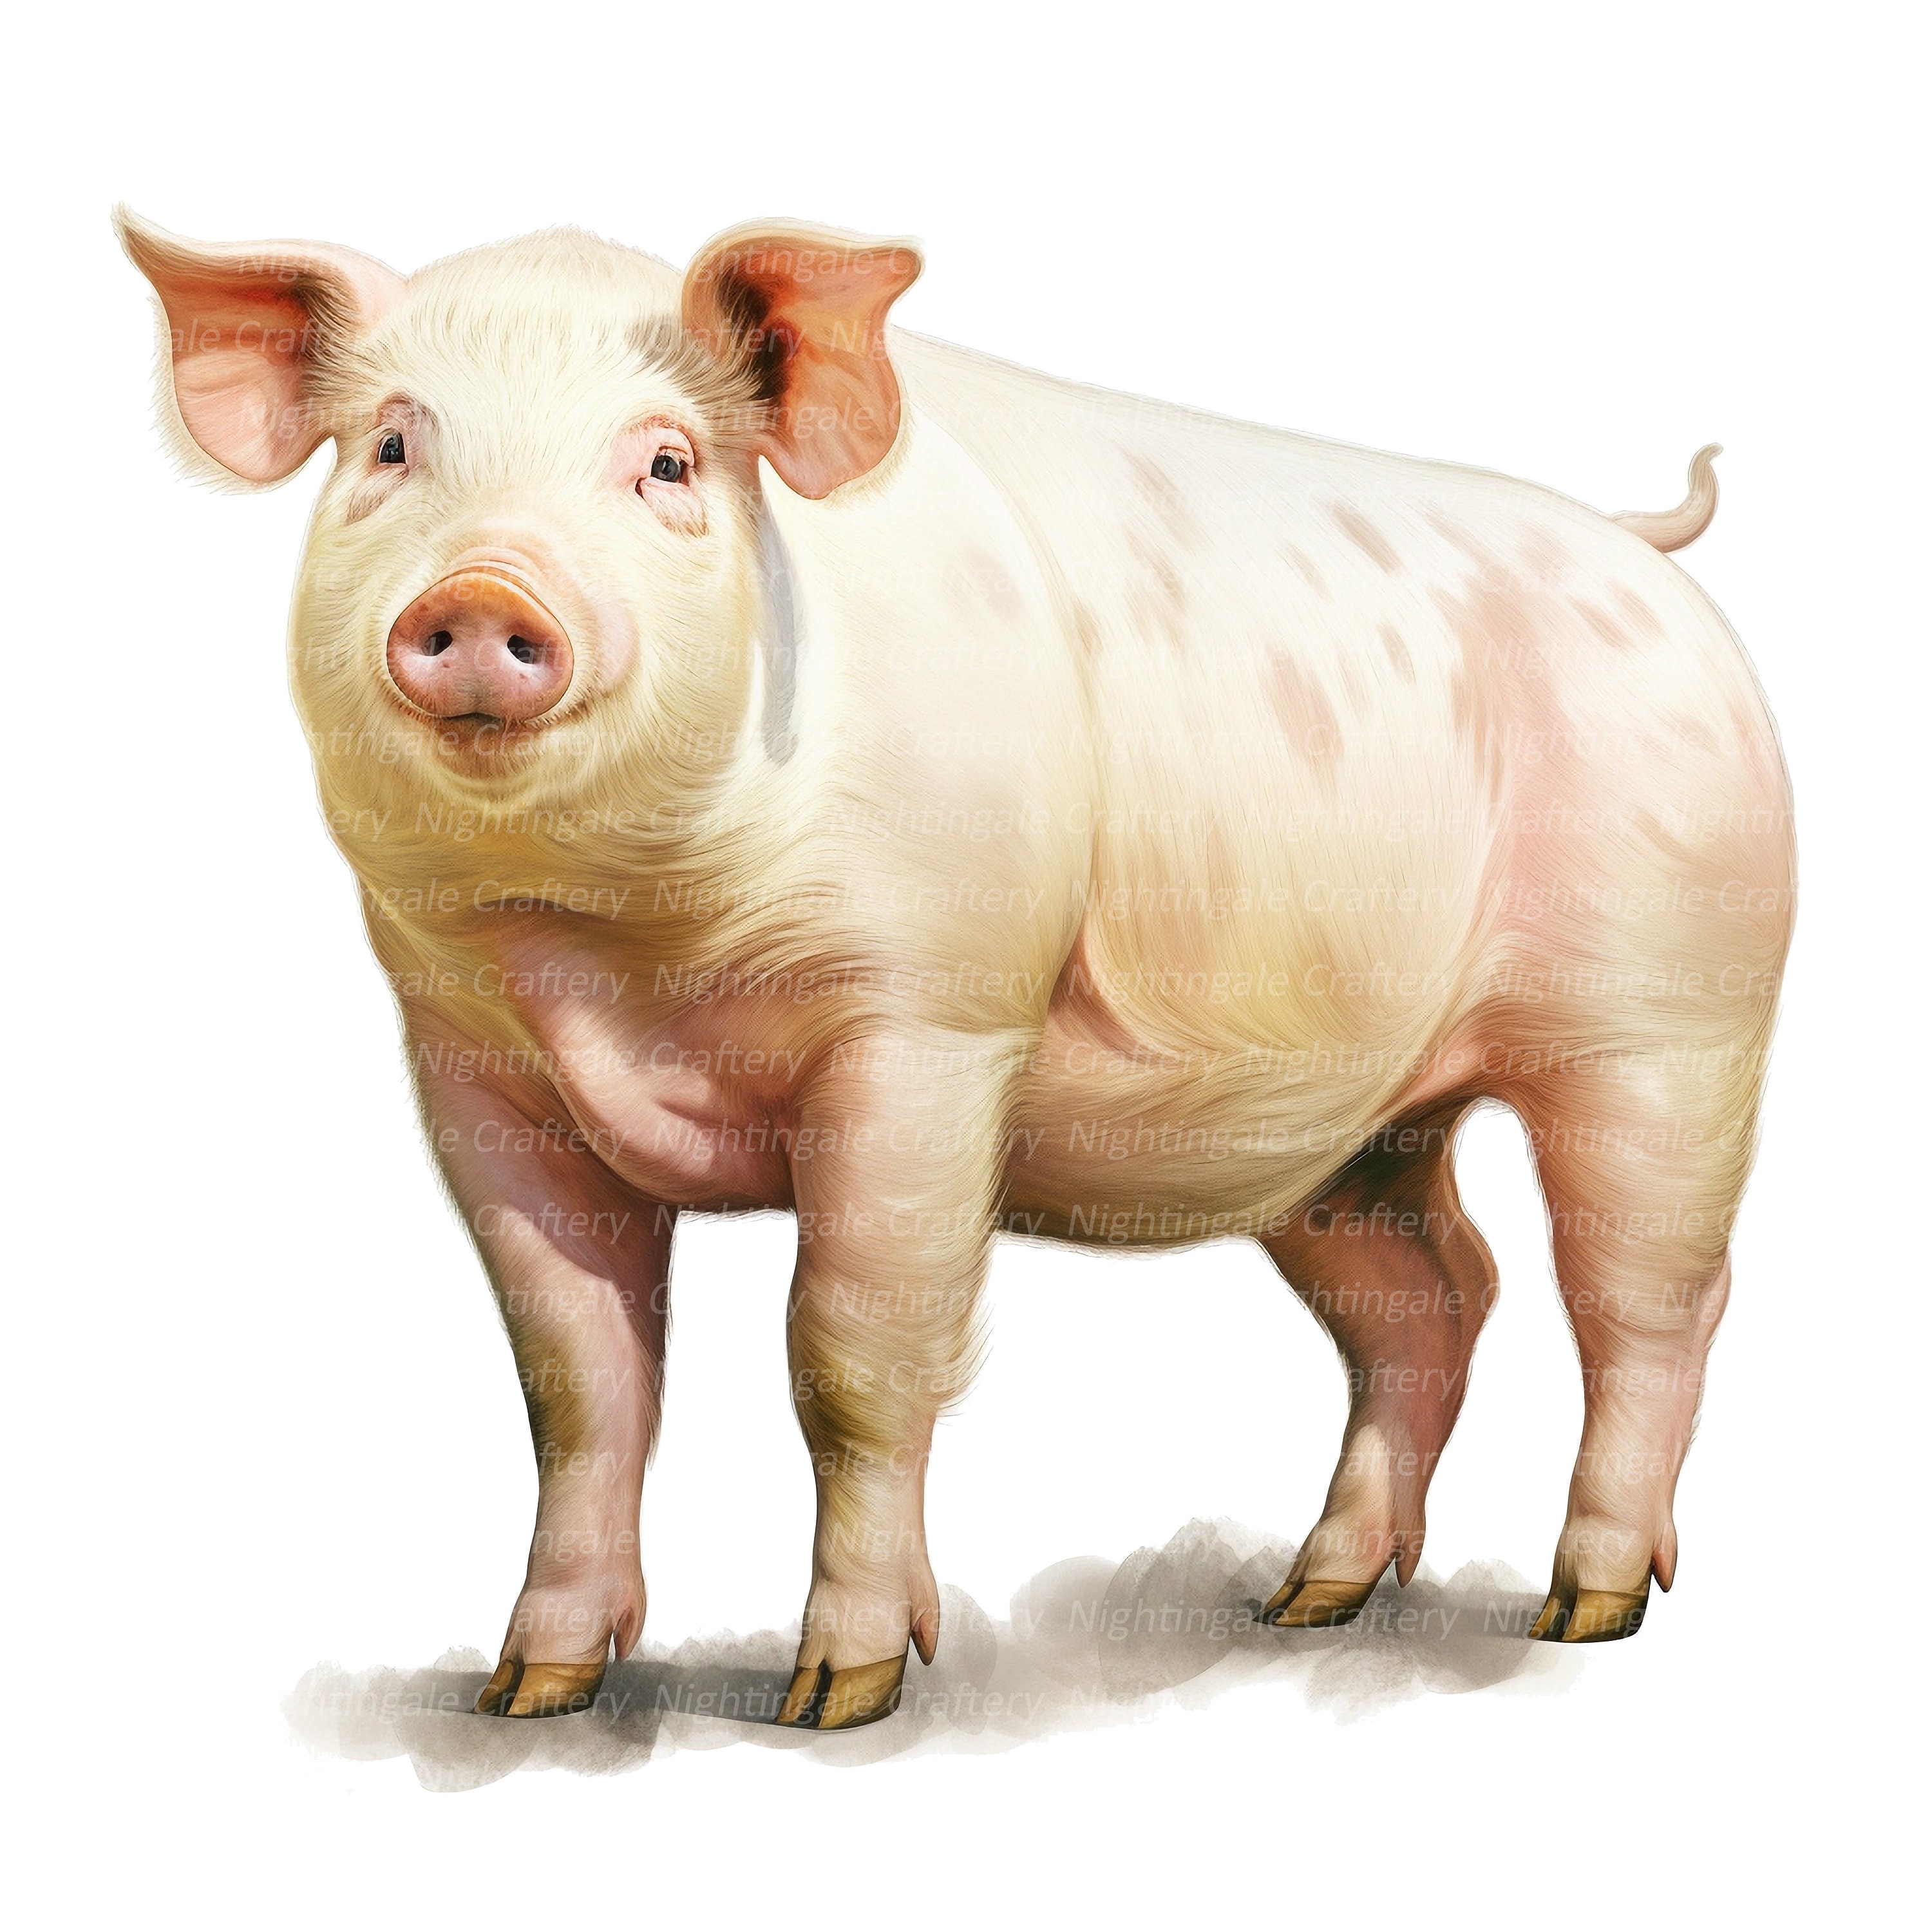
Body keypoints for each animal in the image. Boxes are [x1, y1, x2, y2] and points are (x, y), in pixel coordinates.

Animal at [119, 209, 1793, 1730]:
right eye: (393, 447)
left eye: (666, 465)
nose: (482, 597)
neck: (613, 959)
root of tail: (1642, 551)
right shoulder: (468, 1064)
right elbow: (578, 1381)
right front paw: (526, 1692)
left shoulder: (928, 1024)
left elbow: (849, 1355)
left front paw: (835, 1694)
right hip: (1350, 1128)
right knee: (1437, 1294)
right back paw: (1304, 1596)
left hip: (1676, 1014)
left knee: (1646, 1298)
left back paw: (1582, 1605)